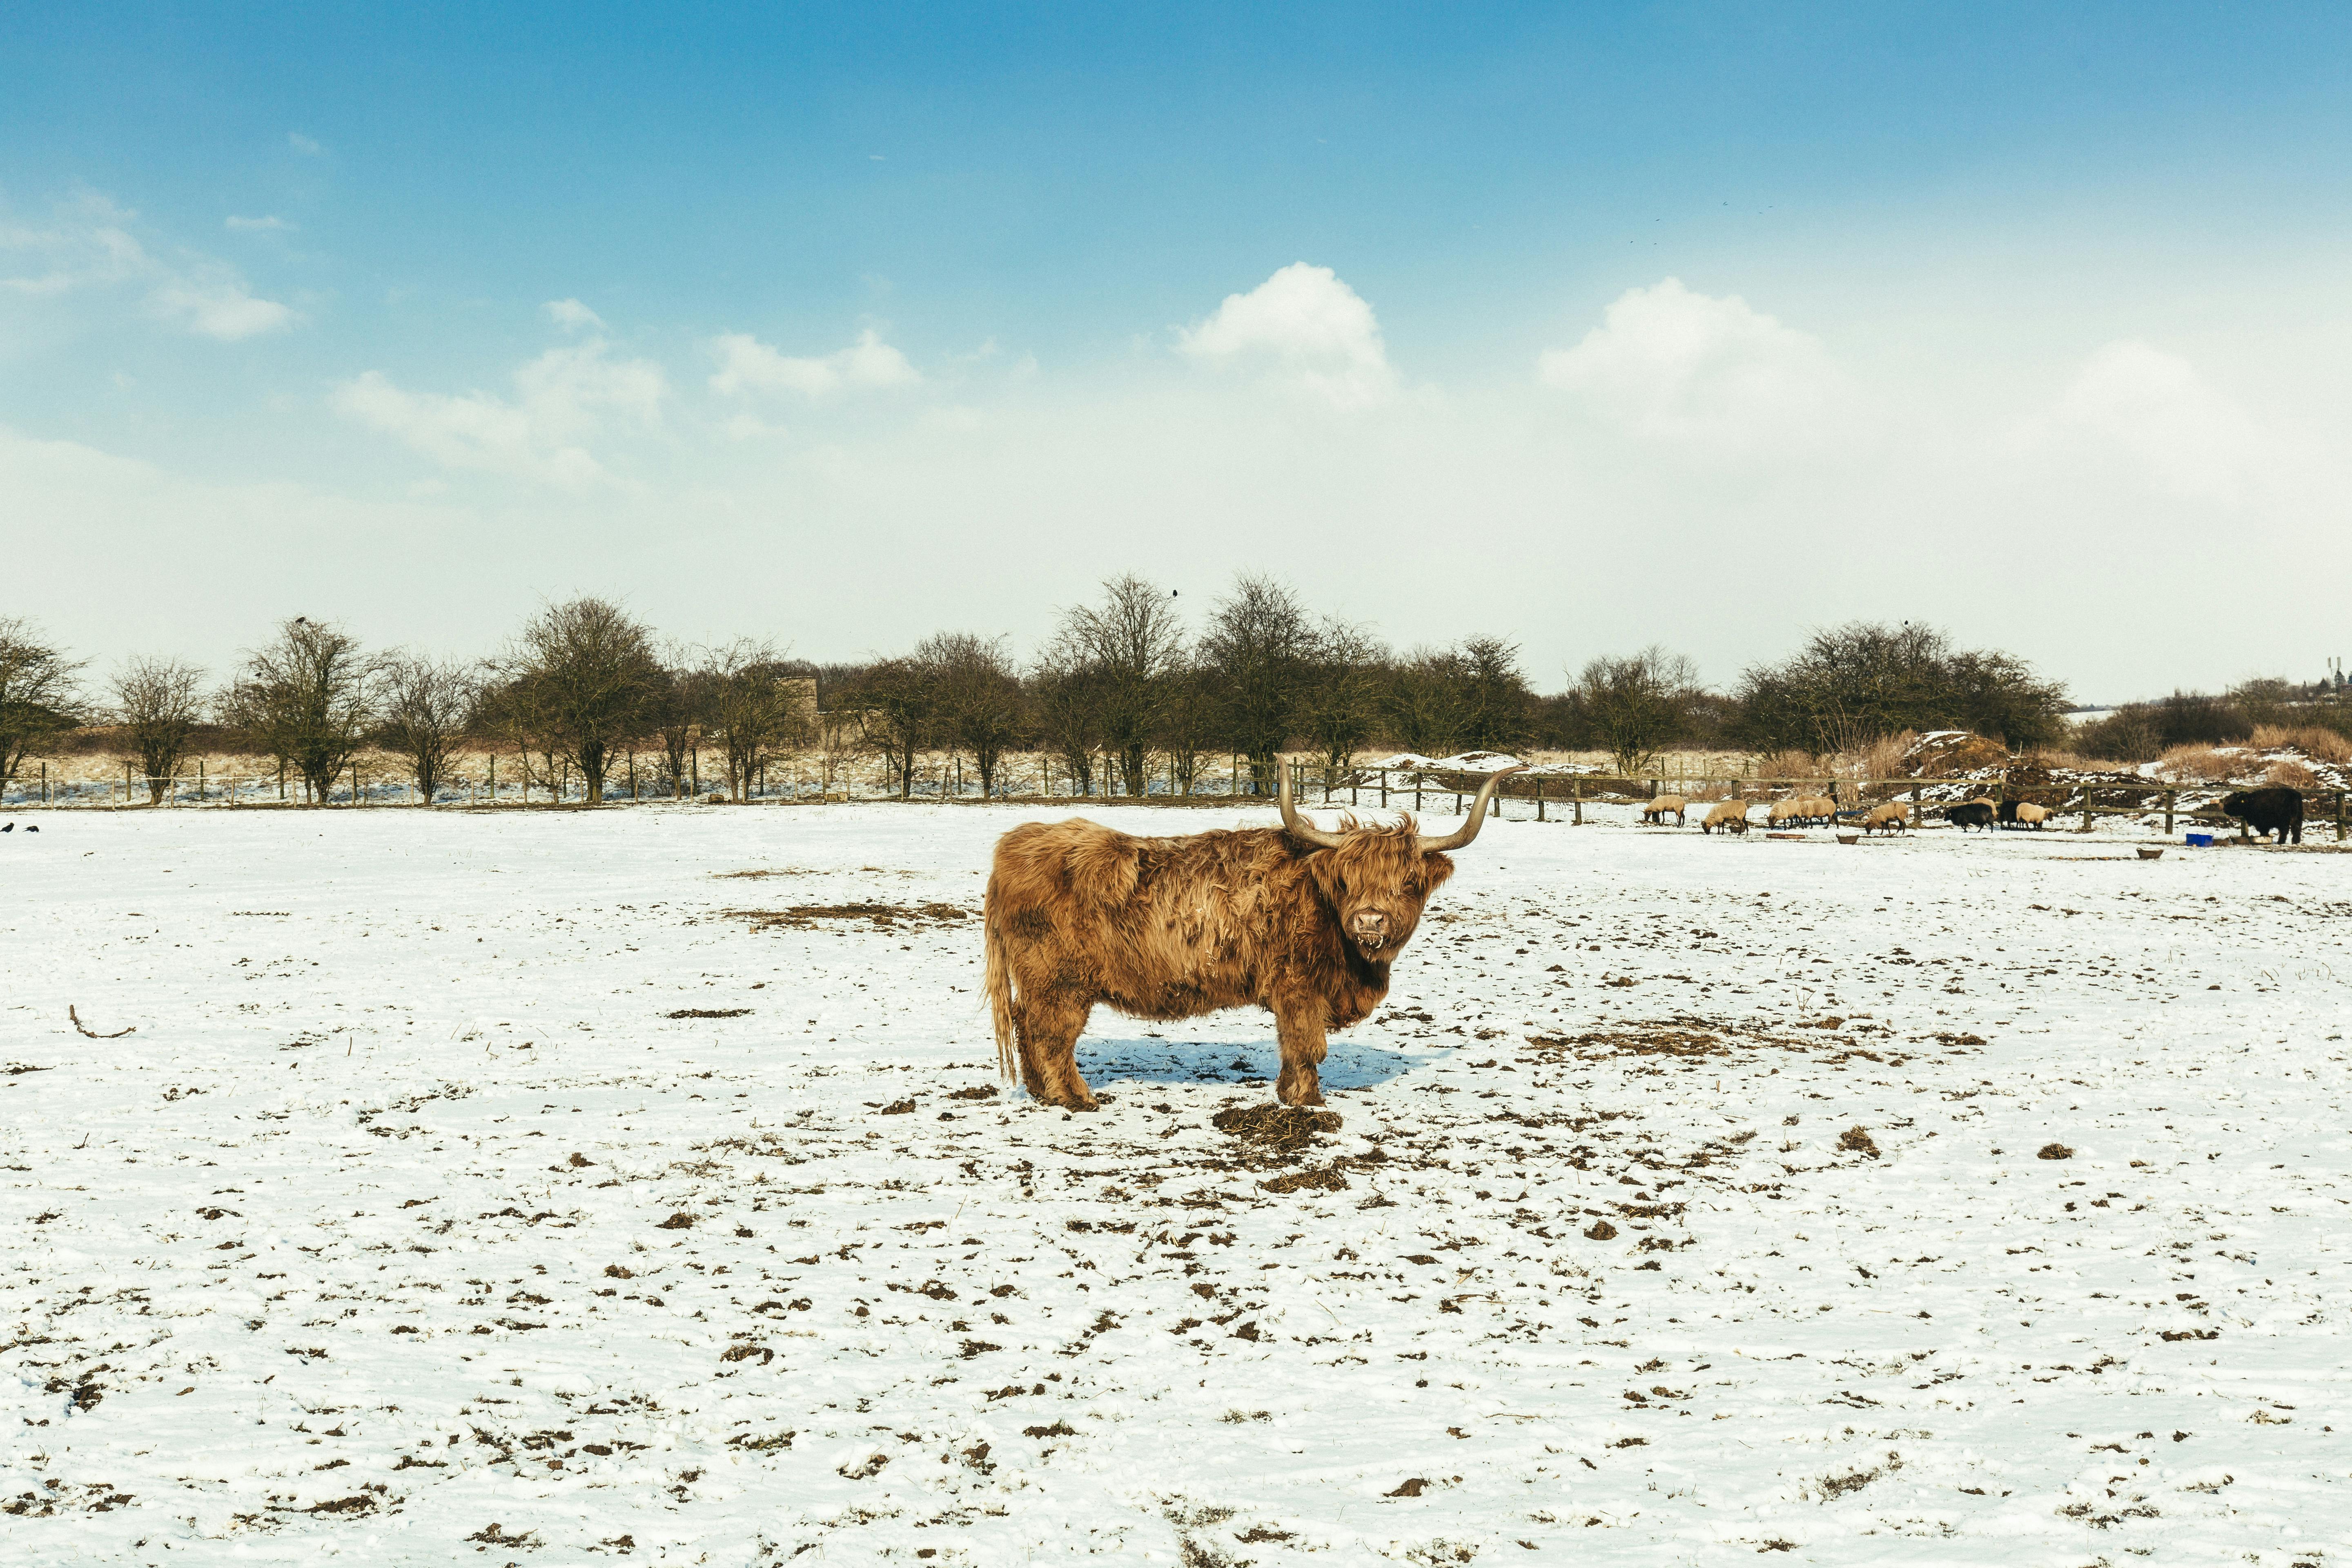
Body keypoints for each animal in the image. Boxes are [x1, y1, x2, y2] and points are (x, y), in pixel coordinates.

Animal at [983, 762, 1525, 1111]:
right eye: (1346, 879)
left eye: (1409, 882)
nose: (1370, 921)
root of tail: (1015, 845)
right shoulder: (1299, 987)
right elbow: (1307, 1044)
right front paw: (1308, 1101)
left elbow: (1291, 1045)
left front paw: (1289, 1093)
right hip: (1061, 982)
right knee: (1051, 1034)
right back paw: (1076, 1099)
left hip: (1041, 982)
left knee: (1025, 1025)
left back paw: (1040, 1093)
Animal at [2218, 786, 2304, 844]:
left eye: (2232, 802)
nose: (2225, 810)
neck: (2251, 802)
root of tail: (2294, 794)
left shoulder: (2262, 823)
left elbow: (2264, 832)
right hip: (2297, 819)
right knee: (2296, 829)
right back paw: (2295, 842)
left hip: (2284, 821)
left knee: (2285, 830)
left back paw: (2281, 842)